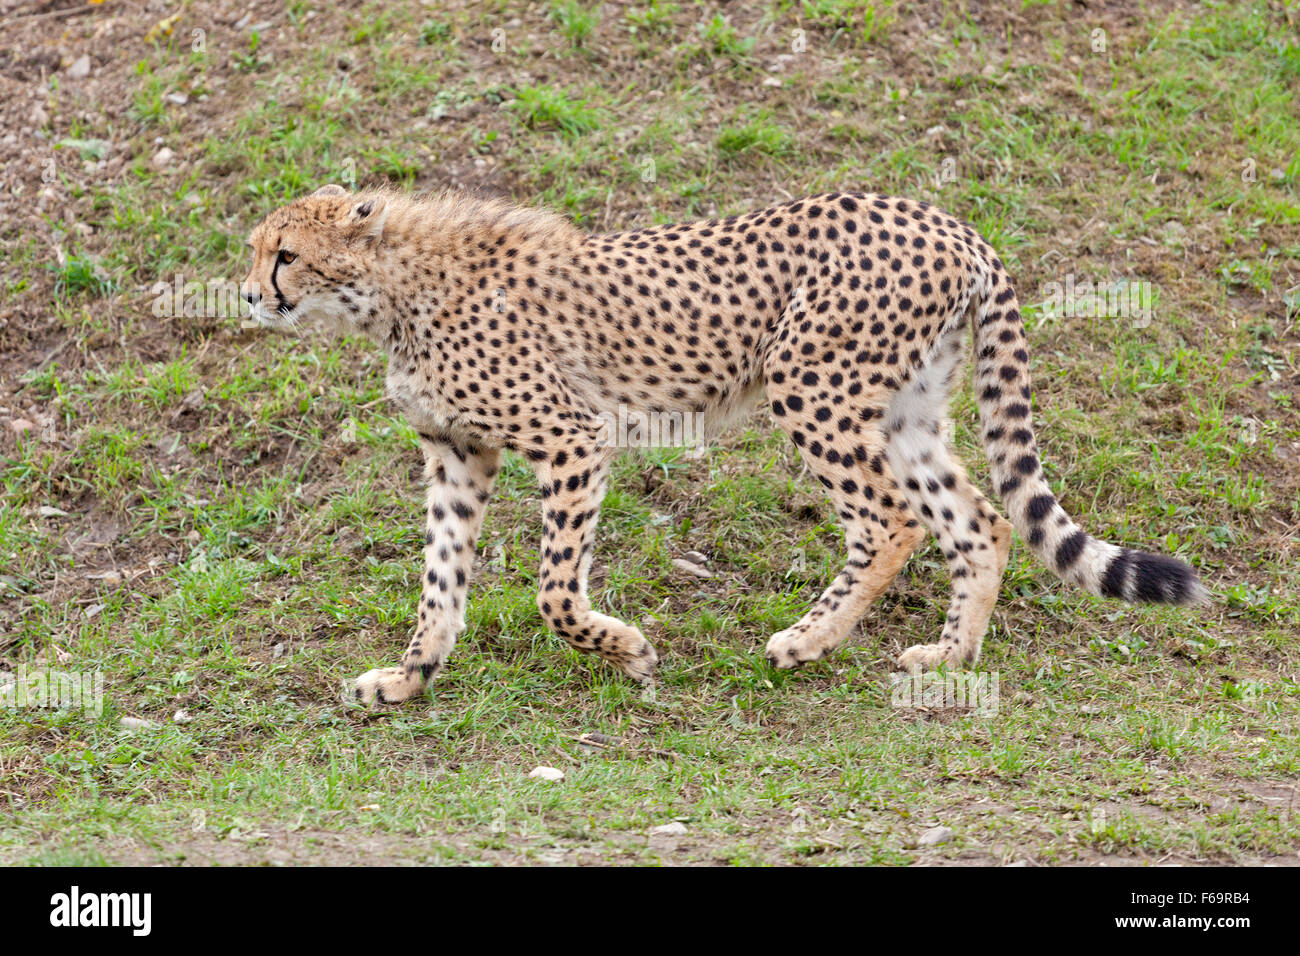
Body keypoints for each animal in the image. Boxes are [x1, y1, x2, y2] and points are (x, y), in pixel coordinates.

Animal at [240, 184, 1207, 706]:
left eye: (284, 255)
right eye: (259, 252)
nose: (248, 296)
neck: (391, 289)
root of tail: (945, 219)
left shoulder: (573, 437)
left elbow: (554, 593)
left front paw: (625, 649)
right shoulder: (455, 452)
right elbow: (439, 586)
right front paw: (409, 680)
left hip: (808, 383)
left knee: (889, 522)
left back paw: (808, 641)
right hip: (906, 410)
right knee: (979, 520)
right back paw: (950, 656)